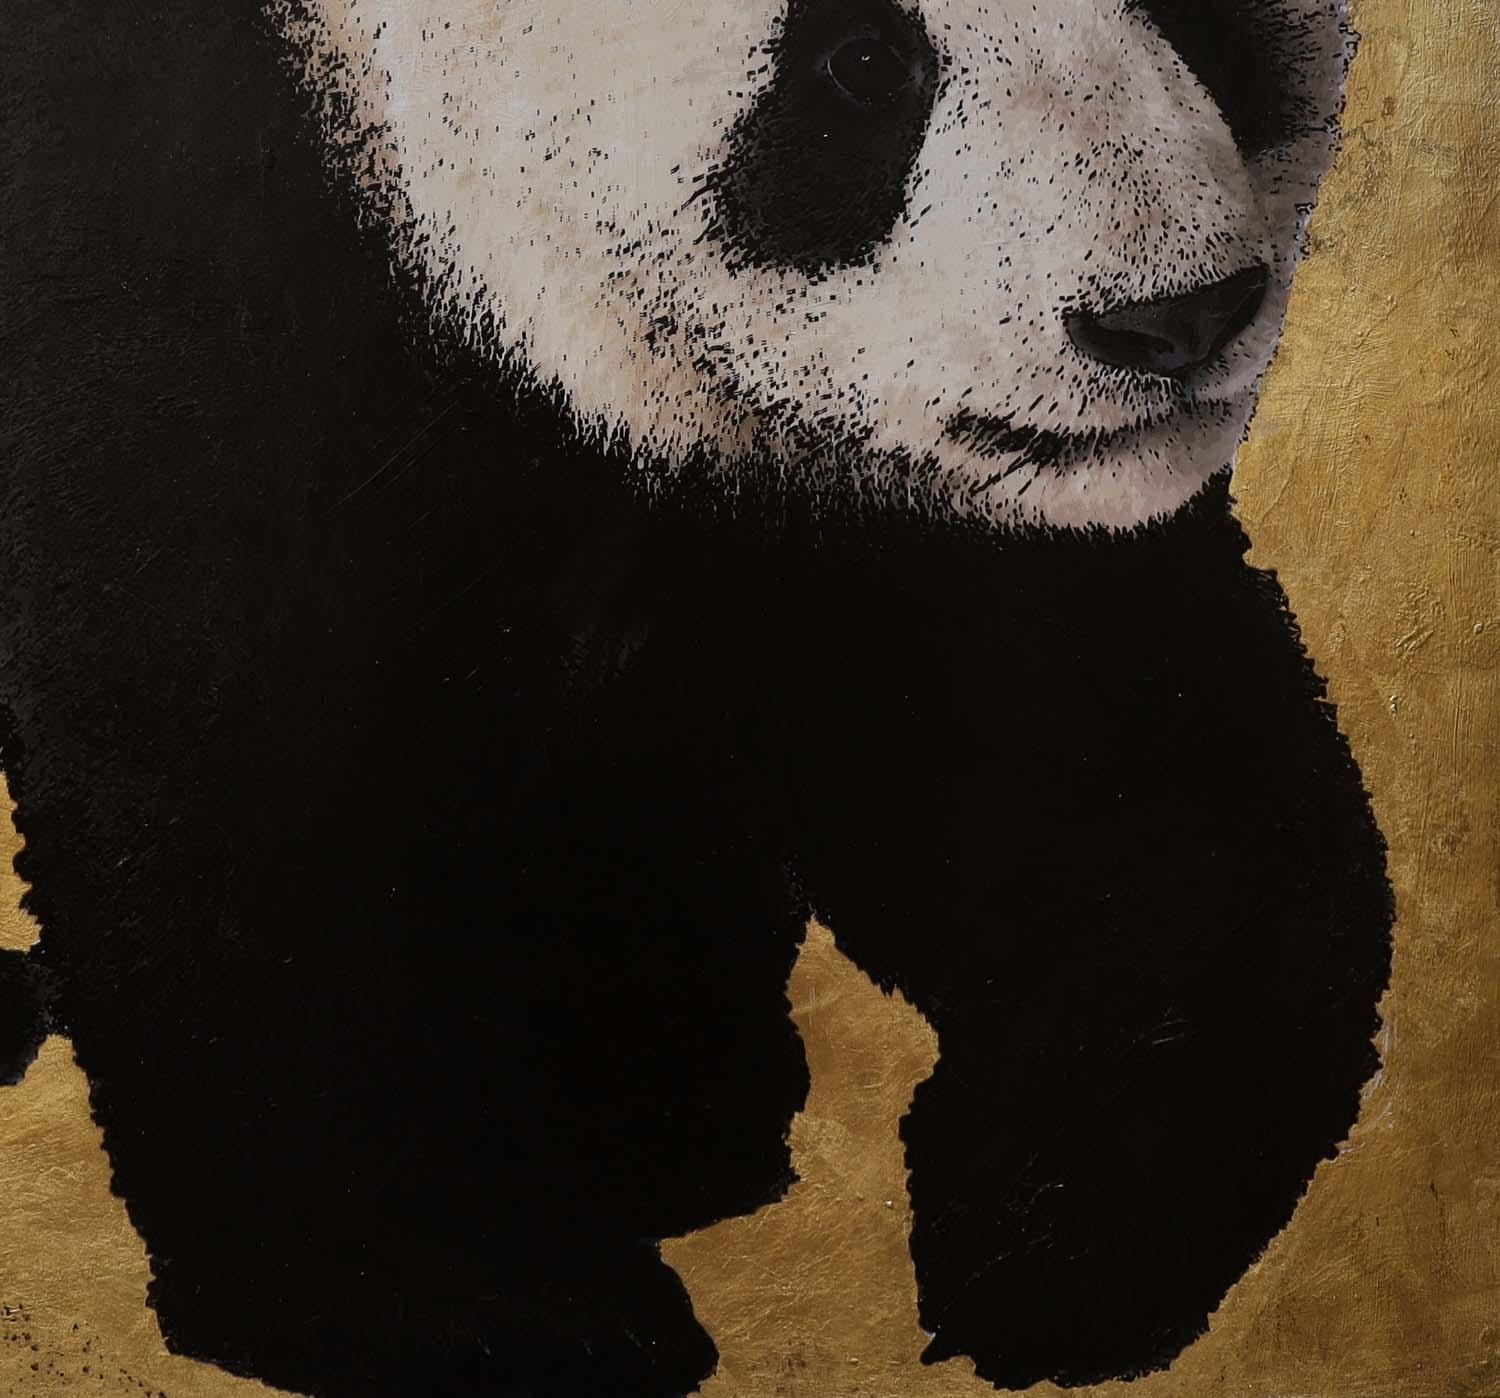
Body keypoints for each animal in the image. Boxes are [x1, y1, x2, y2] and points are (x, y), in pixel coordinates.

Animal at [0, 0, 1392, 1395]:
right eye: (863, 61)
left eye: (1198, 11)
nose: (1176, 322)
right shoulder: (170, 263)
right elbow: (251, 836)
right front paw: (509, 1315)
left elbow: (1131, 784)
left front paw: (1039, 1247)